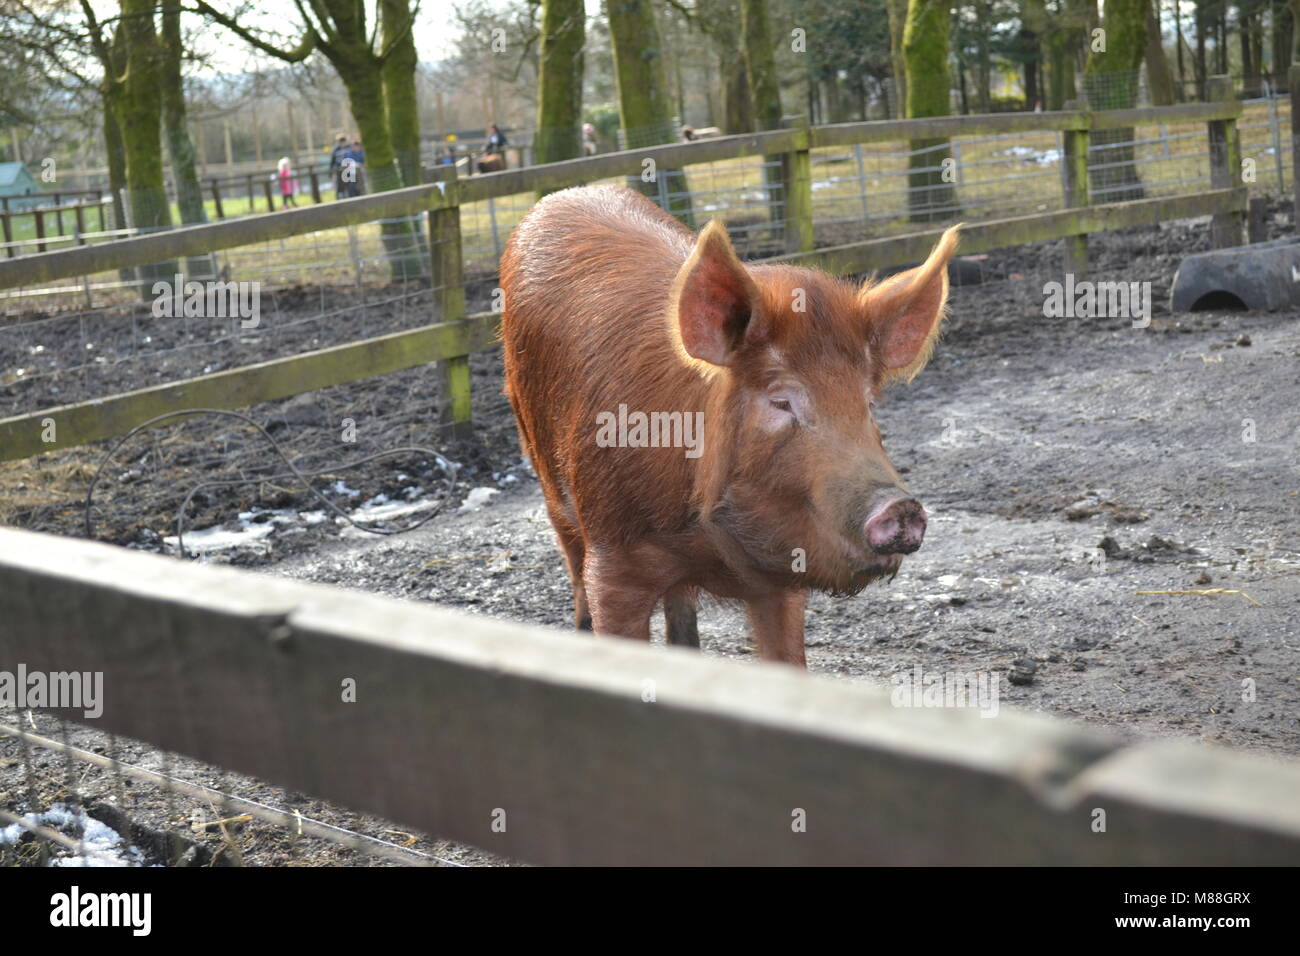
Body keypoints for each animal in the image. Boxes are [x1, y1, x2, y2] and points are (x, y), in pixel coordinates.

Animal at [500, 184, 958, 667]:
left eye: (867, 403)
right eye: (781, 401)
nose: (901, 506)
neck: (703, 542)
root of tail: (566, 192)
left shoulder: (784, 573)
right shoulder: (613, 559)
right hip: (542, 465)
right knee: (573, 565)